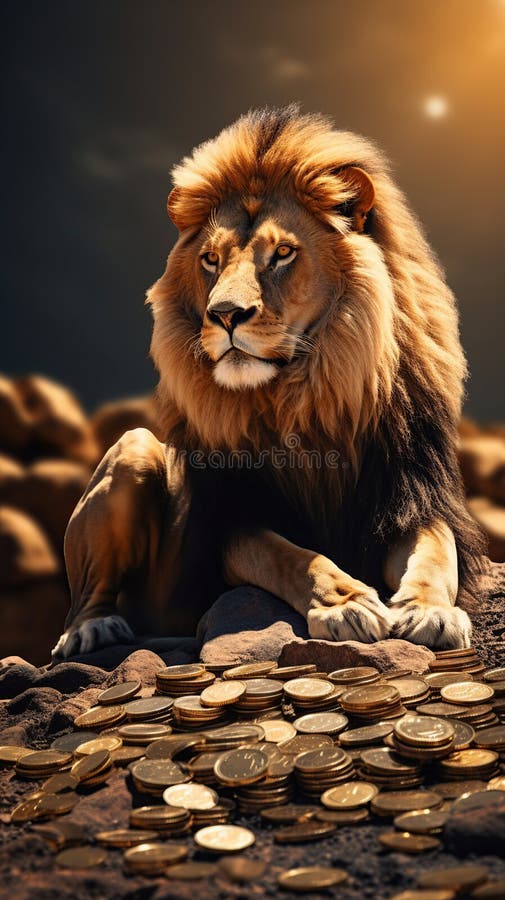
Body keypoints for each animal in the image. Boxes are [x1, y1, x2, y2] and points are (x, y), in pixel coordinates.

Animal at [53, 105, 485, 660]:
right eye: (211, 259)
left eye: (281, 253)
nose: (224, 314)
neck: (308, 394)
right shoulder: (239, 520)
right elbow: (293, 557)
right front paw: (346, 604)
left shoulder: (412, 493)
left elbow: (436, 552)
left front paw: (428, 611)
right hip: (135, 449)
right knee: (85, 600)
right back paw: (93, 629)